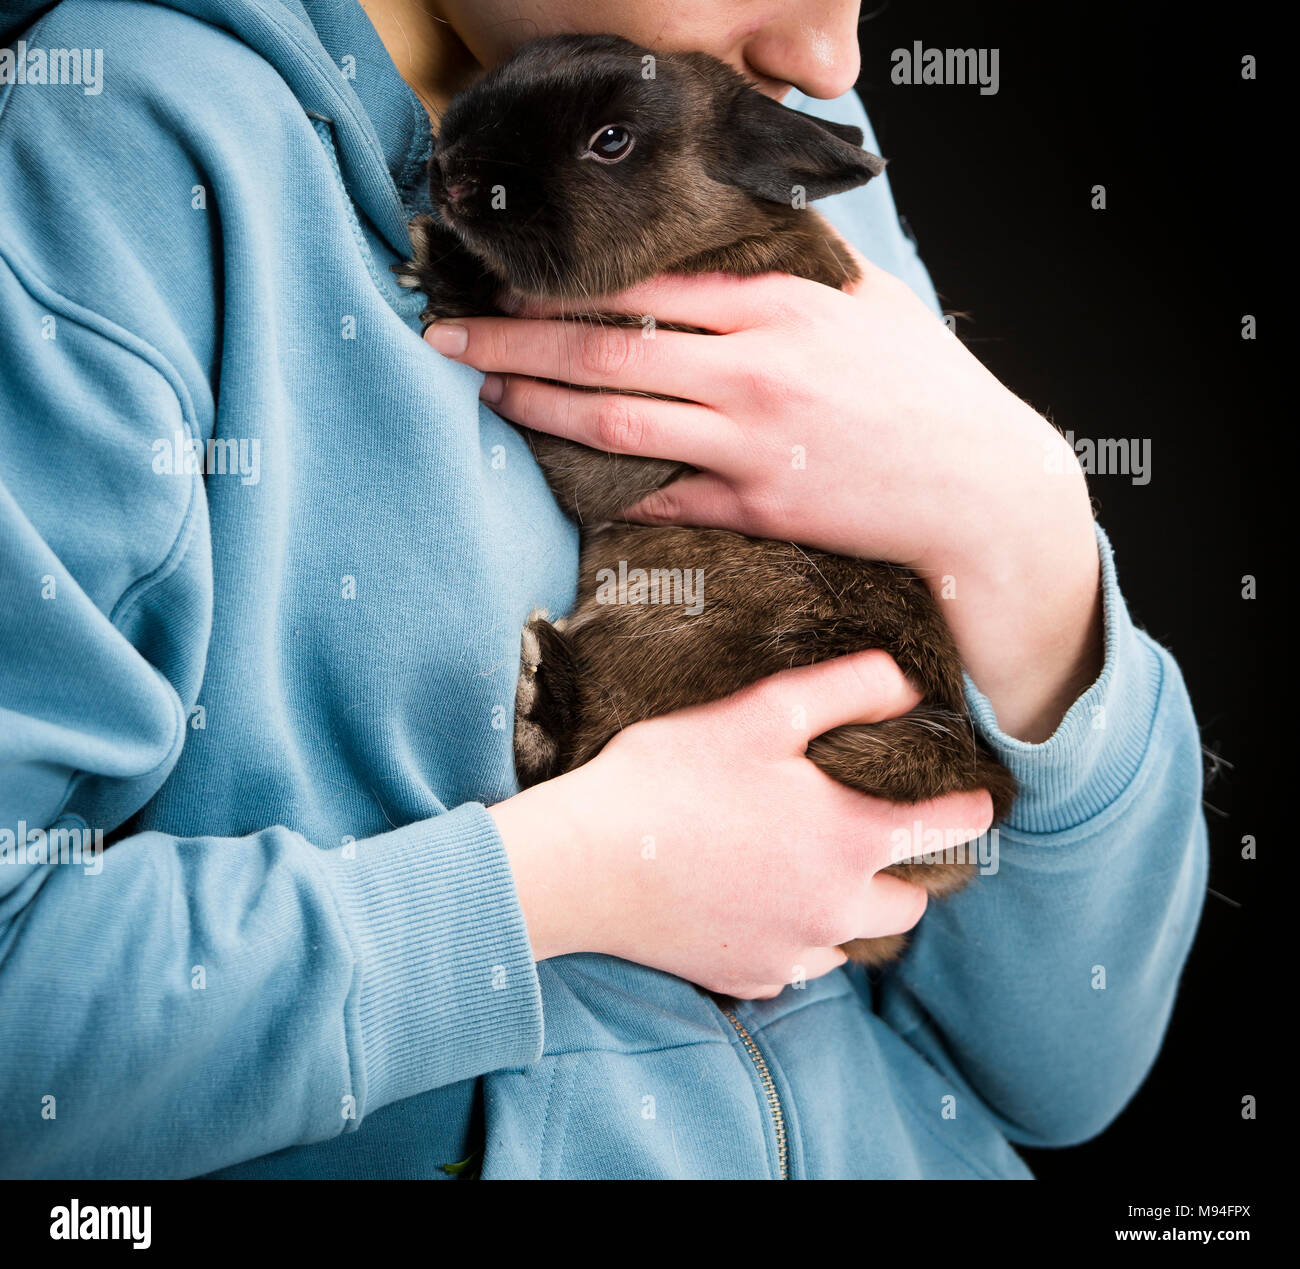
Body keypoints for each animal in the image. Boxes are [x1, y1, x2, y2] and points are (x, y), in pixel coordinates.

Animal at [396, 34, 1015, 967]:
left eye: (611, 142)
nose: (453, 178)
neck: (707, 237)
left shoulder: (624, 443)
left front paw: (447, 266)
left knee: (578, 747)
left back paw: (542, 693)